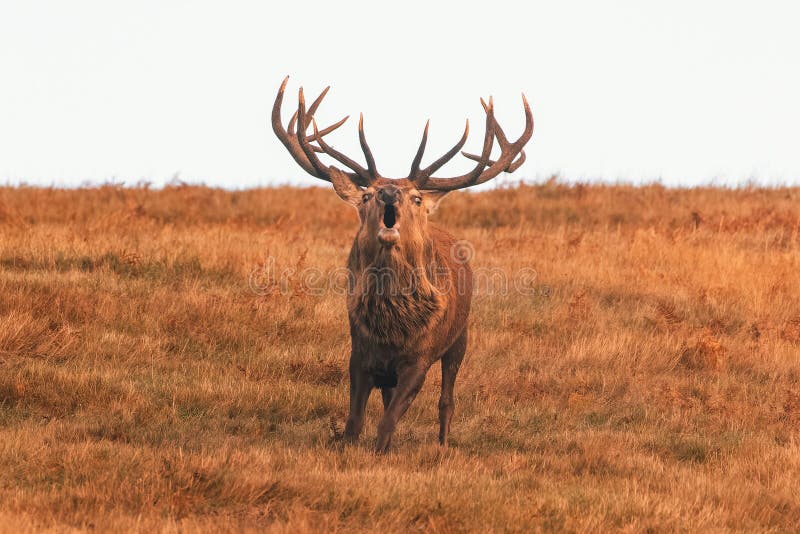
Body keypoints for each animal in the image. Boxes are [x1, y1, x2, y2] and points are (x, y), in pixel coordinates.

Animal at [272, 77, 533, 452]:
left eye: (417, 198)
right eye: (367, 195)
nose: (388, 193)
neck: (392, 330)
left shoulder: (419, 359)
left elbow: (387, 422)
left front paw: (382, 451)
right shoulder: (359, 353)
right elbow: (354, 422)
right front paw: (350, 449)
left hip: (461, 336)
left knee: (447, 399)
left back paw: (443, 444)